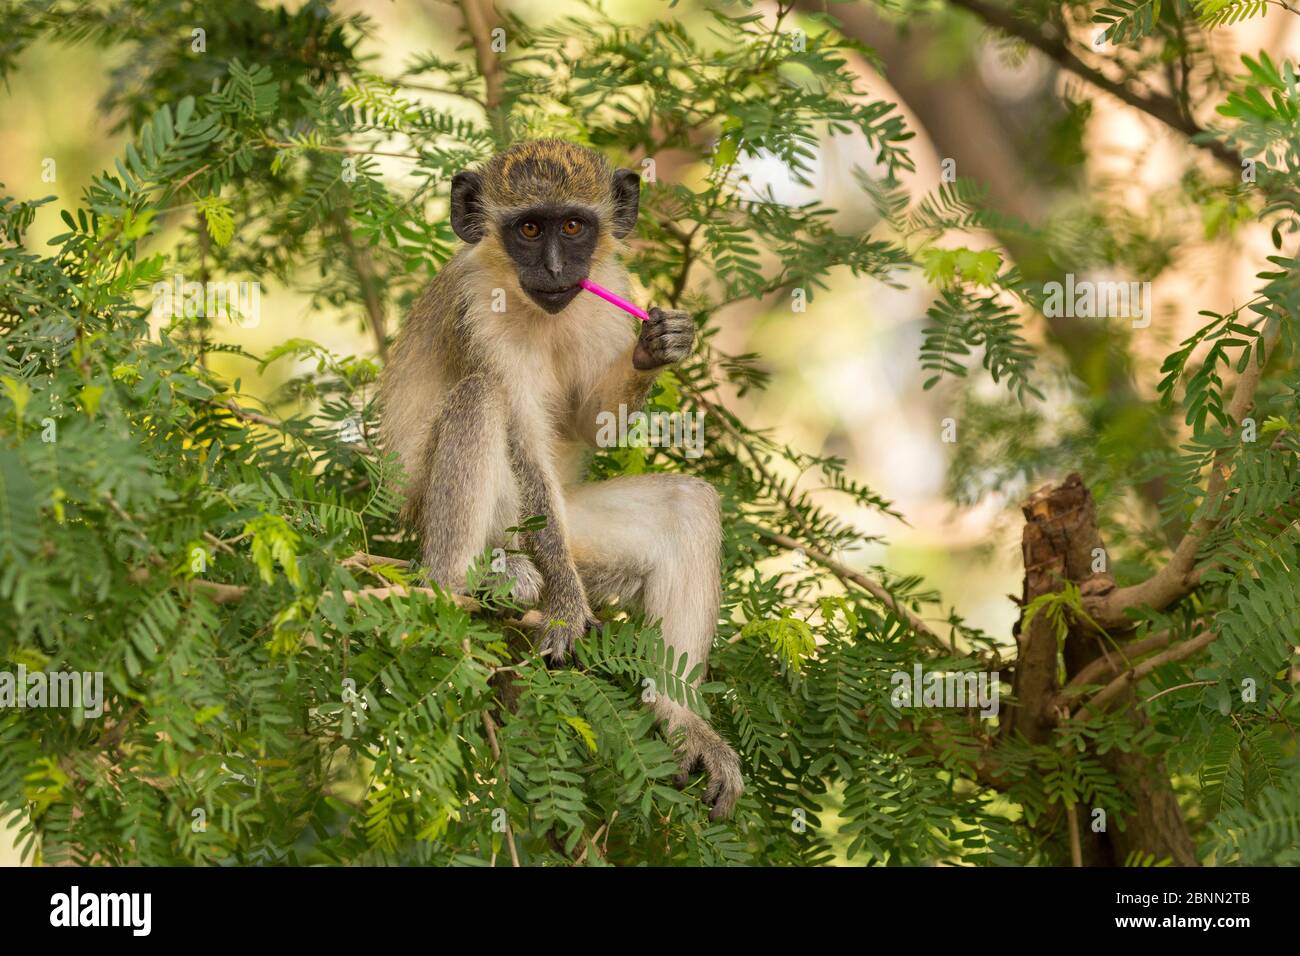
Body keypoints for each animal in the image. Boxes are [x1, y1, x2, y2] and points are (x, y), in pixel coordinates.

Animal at [379, 140, 743, 819]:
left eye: (573, 226)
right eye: (528, 229)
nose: (553, 268)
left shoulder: (610, 292)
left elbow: (588, 421)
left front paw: (658, 345)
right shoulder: (476, 310)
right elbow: (521, 430)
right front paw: (569, 611)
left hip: (582, 539)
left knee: (688, 505)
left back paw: (682, 721)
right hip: (462, 521)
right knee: (480, 399)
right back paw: (459, 583)